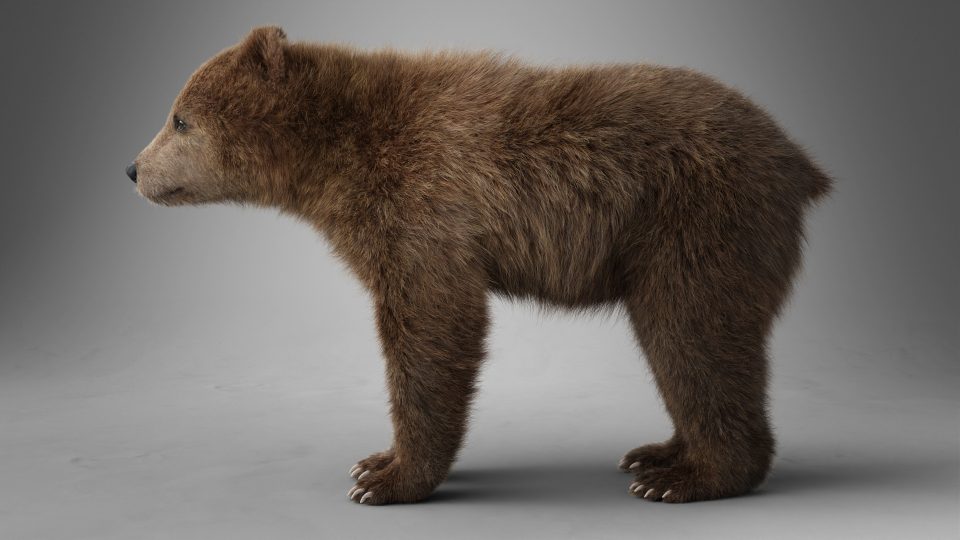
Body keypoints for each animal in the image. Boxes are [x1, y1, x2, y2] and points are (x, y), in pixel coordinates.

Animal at [128, 26, 832, 505]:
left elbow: (433, 324)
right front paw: (375, 463)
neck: (336, 157)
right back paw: (656, 453)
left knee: (692, 332)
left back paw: (689, 476)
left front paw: (385, 476)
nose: (133, 167)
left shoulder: (424, 207)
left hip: (696, 223)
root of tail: (799, 161)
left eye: (180, 117)